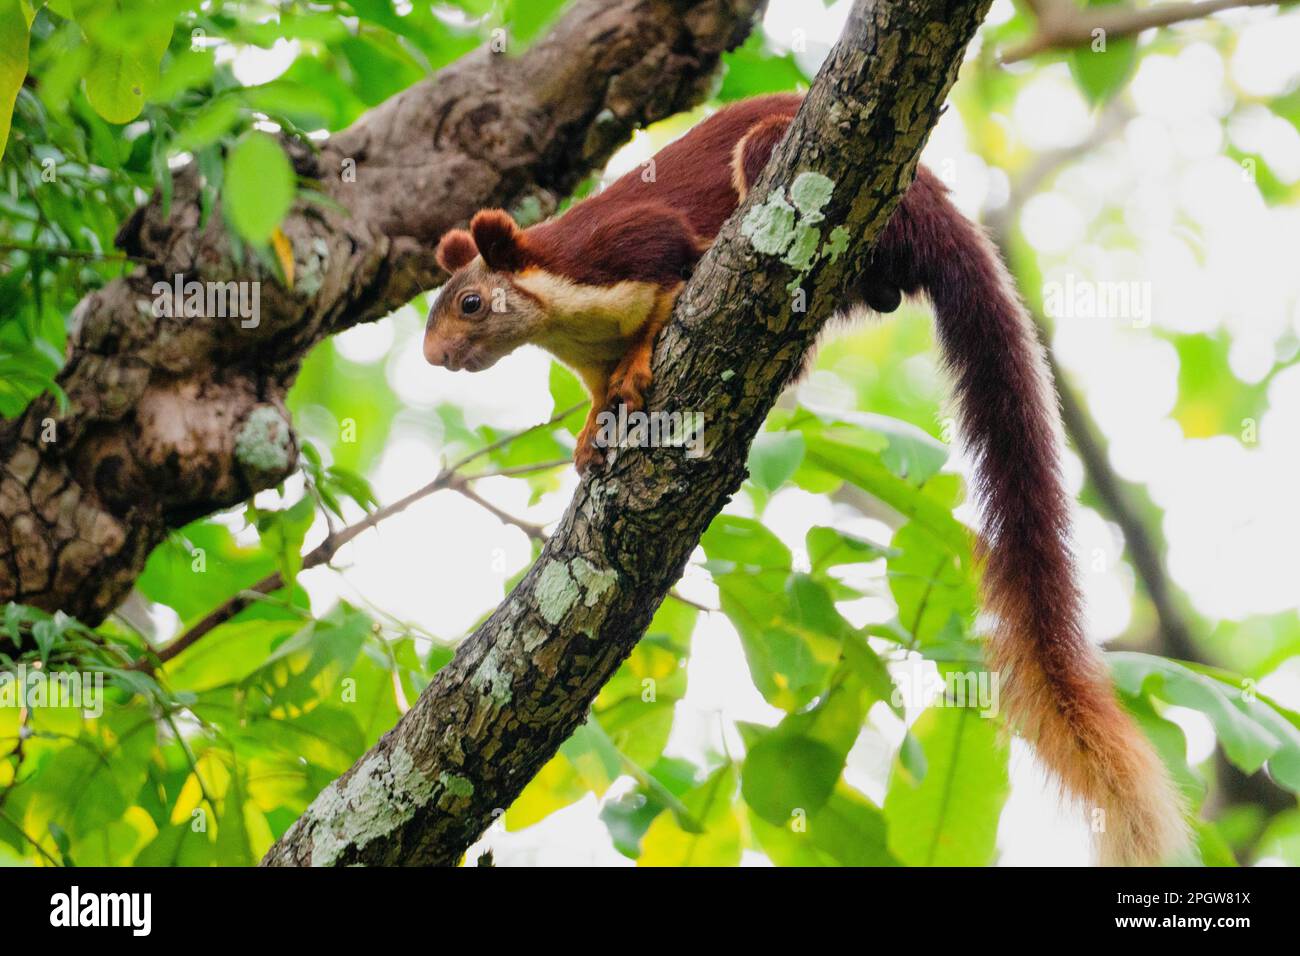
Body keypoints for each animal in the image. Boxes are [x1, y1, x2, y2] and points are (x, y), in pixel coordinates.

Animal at [424, 92, 1187, 866]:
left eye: (469, 304)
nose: (434, 356)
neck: (560, 315)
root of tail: (940, 207)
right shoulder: (586, 354)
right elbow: (596, 393)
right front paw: (588, 435)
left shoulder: (631, 248)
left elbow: (668, 281)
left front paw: (638, 364)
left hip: (829, 190)